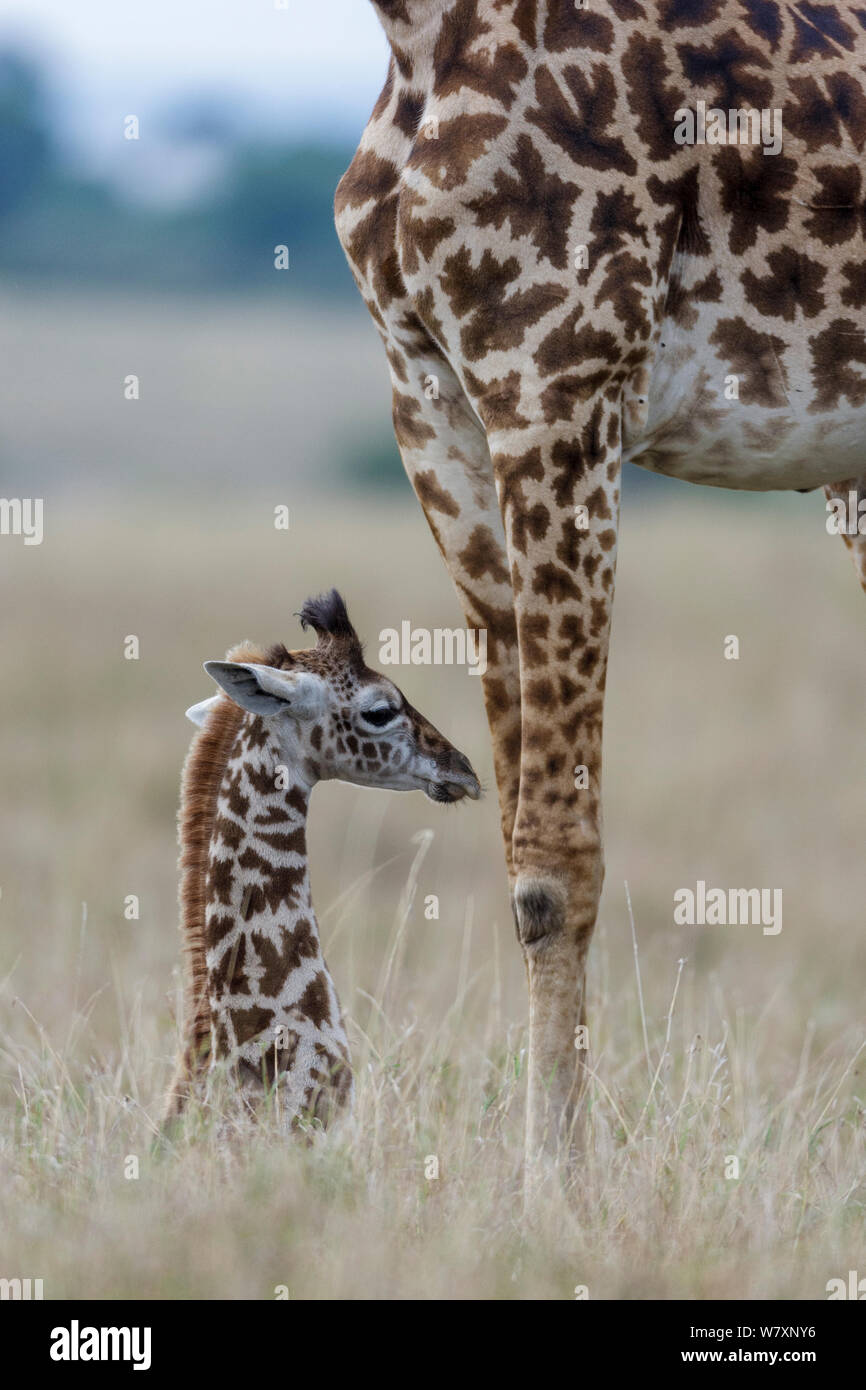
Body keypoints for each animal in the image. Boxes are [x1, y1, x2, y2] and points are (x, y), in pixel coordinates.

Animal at [334, 1, 866, 1170]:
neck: (415, 36)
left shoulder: (559, 392)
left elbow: (552, 866)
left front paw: (555, 1191)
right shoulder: (435, 408)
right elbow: (512, 849)